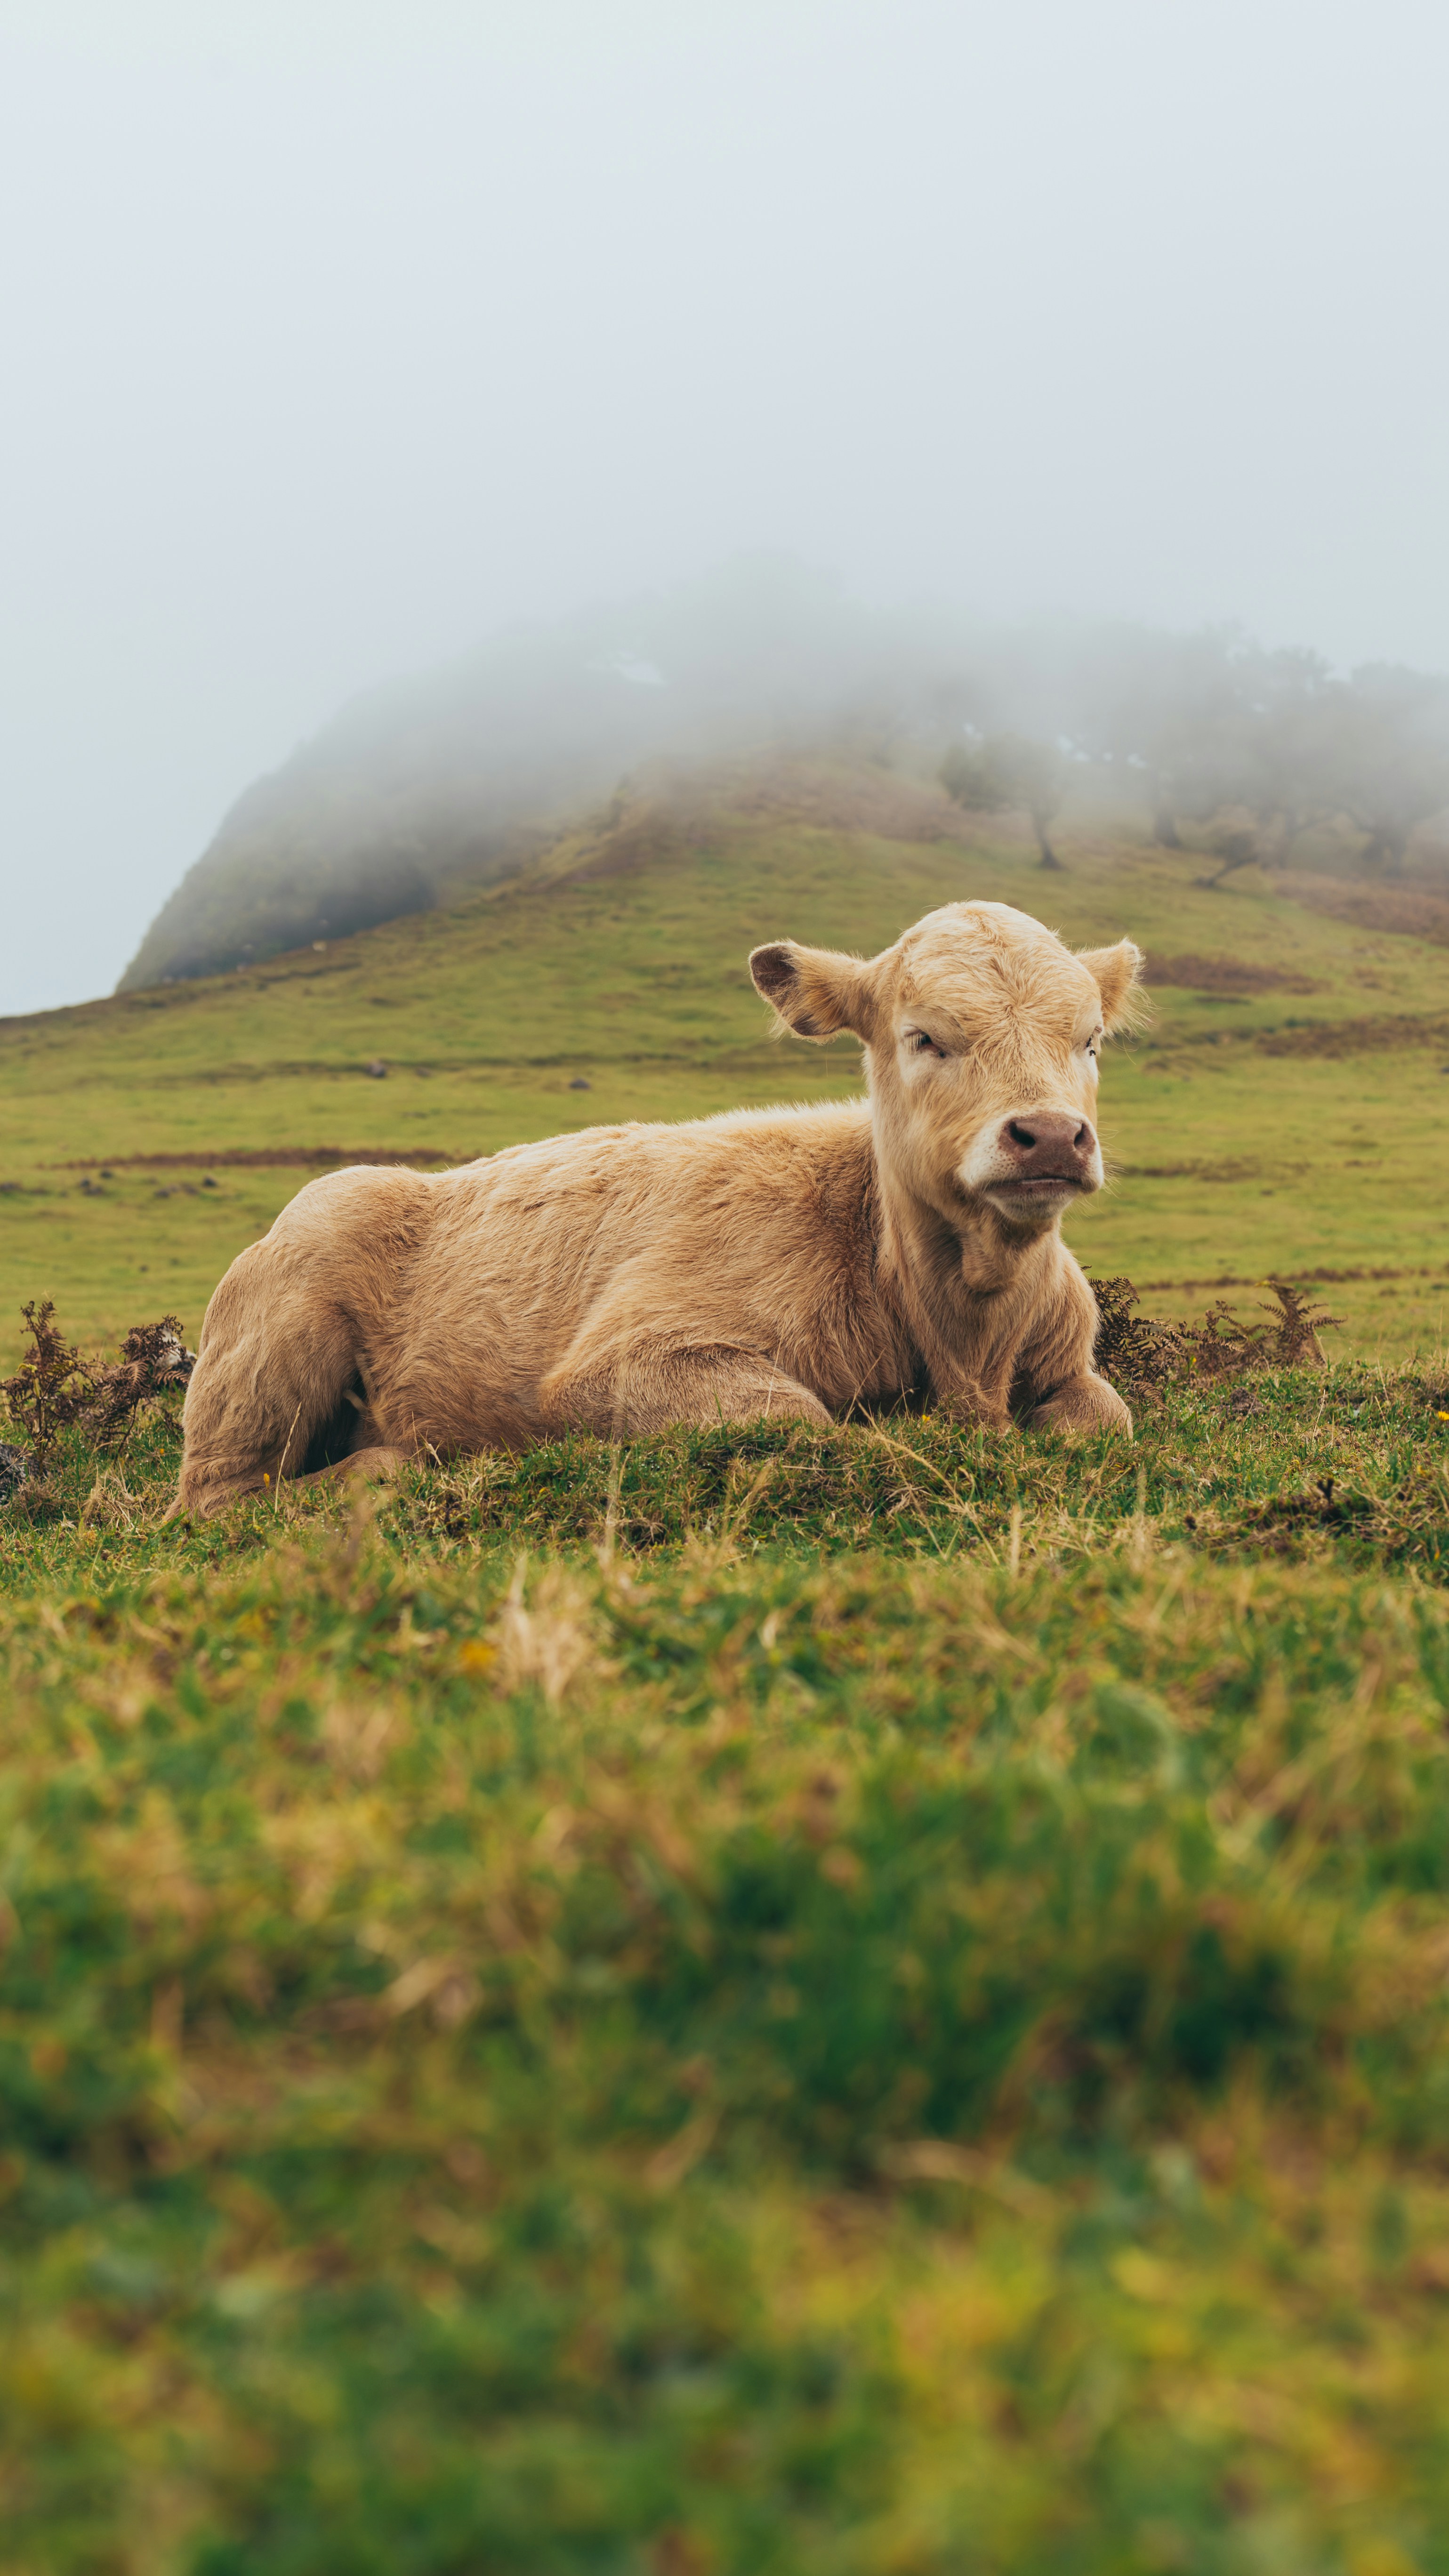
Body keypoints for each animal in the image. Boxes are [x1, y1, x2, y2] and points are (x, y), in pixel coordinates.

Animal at [171, 899, 1143, 1517]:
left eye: (1089, 1040)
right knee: (221, 1499)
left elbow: (1105, 1420)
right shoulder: (617, 1361)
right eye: (924, 1037)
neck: (965, 1335)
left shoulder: (1067, 1362)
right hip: (274, 1343)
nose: (1050, 1137)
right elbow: (805, 1419)